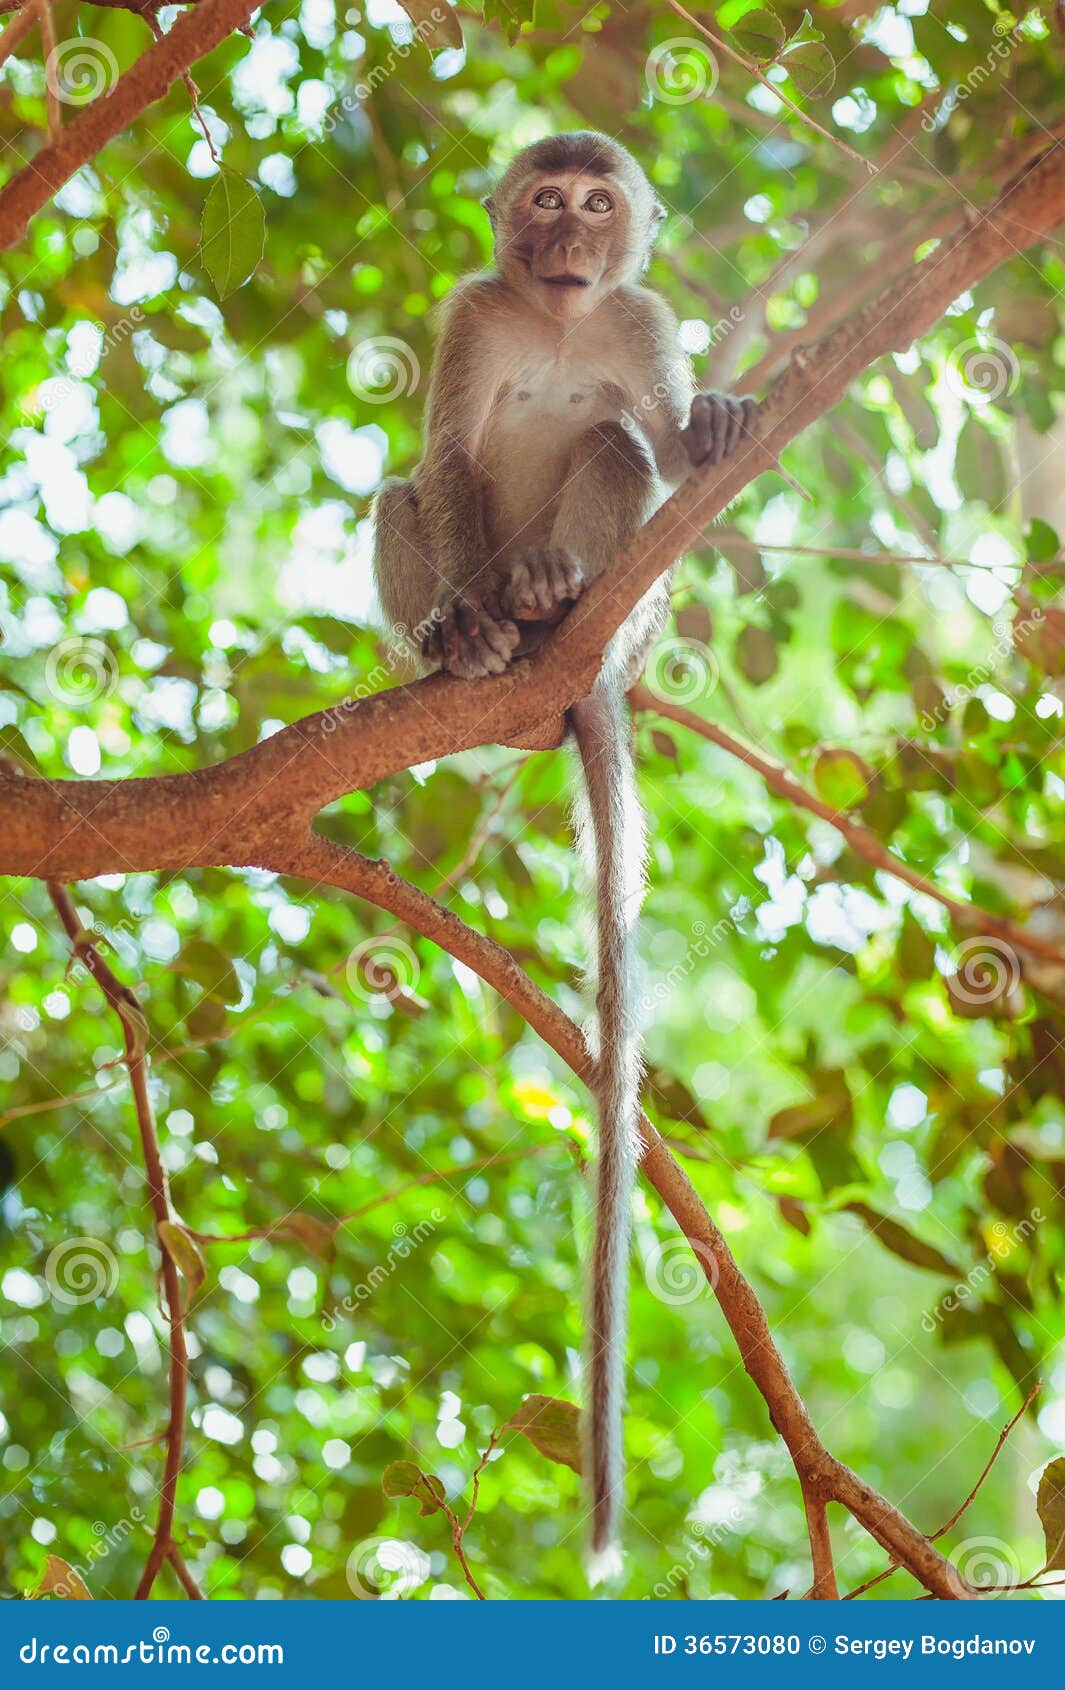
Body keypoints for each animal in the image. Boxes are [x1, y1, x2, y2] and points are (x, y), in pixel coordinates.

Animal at [372, 130, 756, 1573]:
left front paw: (706, 423)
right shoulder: (475, 313)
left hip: (629, 626)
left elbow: (659, 443)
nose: (573, 239)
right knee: (407, 492)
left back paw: (548, 603)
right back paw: (473, 633)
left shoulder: (637, 320)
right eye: (543, 204)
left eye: (599, 205)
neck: (553, 315)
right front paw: (457, 612)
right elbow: (445, 458)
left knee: (609, 442)